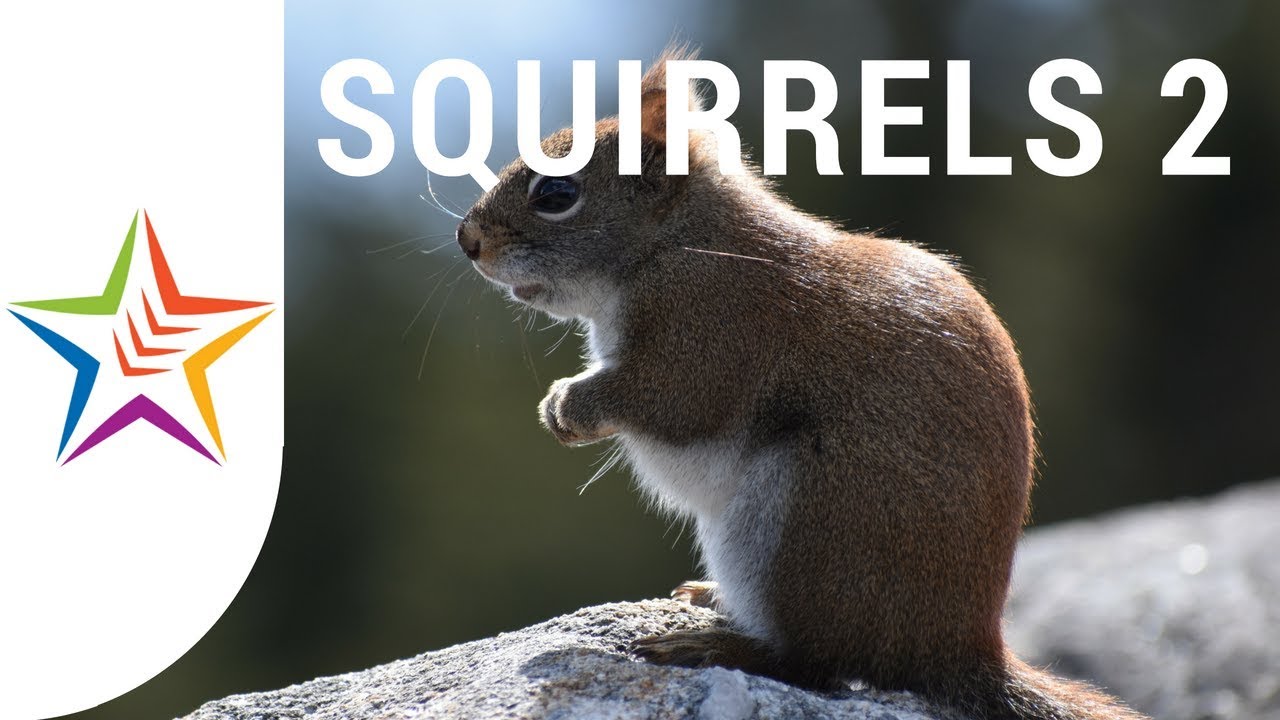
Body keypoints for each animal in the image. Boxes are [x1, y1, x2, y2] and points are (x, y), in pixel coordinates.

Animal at [455, 47, 1144, 720]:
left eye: (557, 192)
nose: (467, 240)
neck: (678, 242)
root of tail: (953, 648)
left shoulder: (710, 329)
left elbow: (670, 398)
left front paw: (569, 405)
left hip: (800, 521)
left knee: (817, 662)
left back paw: (714, 646)